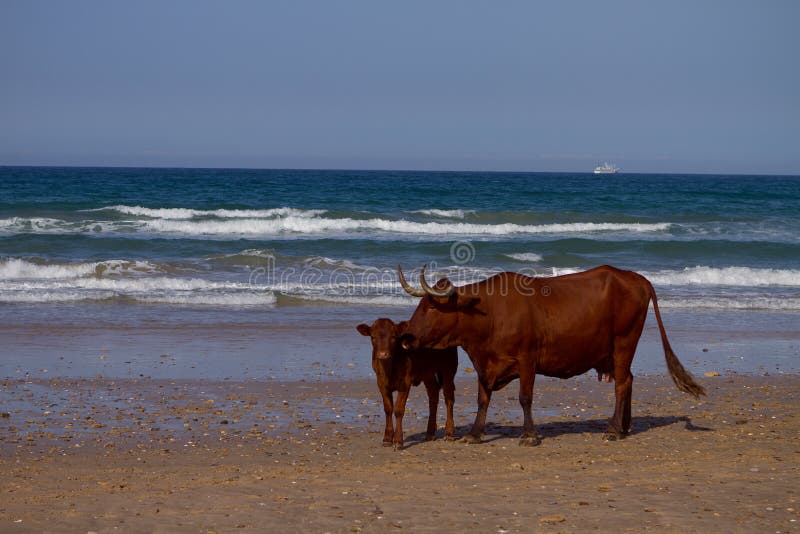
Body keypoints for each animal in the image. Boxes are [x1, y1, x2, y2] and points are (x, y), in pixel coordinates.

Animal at [357, 318, 458, 449]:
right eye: (373, 337)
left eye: (393, 336)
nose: (383, 354)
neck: (389, 369)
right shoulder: (381, 383)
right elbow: (388, 409)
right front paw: (387, 438)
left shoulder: (405, 382)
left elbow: (398, 410)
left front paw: (398, 440)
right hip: (427, 372)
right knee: (433, 395)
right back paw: (430, 432)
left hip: (448, 369)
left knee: (449, 398)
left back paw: (449, 432)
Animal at [397, 264, 705, 446]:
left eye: (431, 307)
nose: (406, 338)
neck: (492, 313)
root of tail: (637, 279)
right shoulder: (486, 365)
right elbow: (482, 399)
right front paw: (474, 433)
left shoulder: (527, 359)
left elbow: (525, 398)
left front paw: (529, 435)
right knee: (627, 379)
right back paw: (624, 426)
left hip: (624, 343)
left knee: (621, 383)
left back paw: (614, 429)